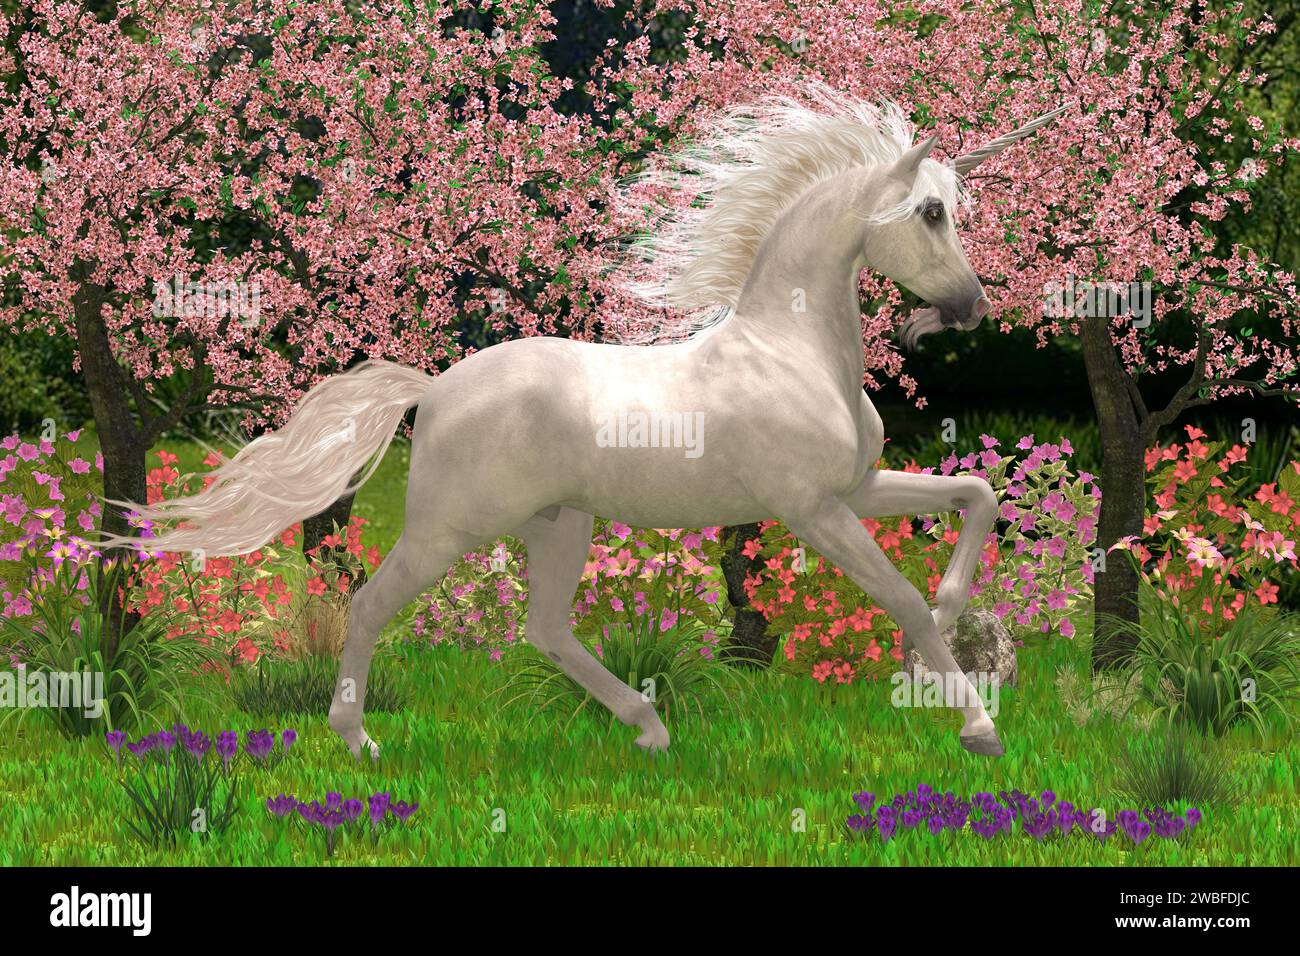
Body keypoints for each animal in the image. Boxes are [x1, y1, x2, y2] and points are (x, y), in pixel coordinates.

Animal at [110, 86, 1065, 761]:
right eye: (930, 213)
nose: (971, 308)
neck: (790, 349)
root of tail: (434, 387)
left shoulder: (859, 488)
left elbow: (974, 497)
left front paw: (954, 616)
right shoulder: (815, 510)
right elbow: (899, 597)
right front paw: (979, 728)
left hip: (558, 524)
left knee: (545, 631)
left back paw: (649, 728)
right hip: (449, 529)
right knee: (373, 604)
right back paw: (360, 742)